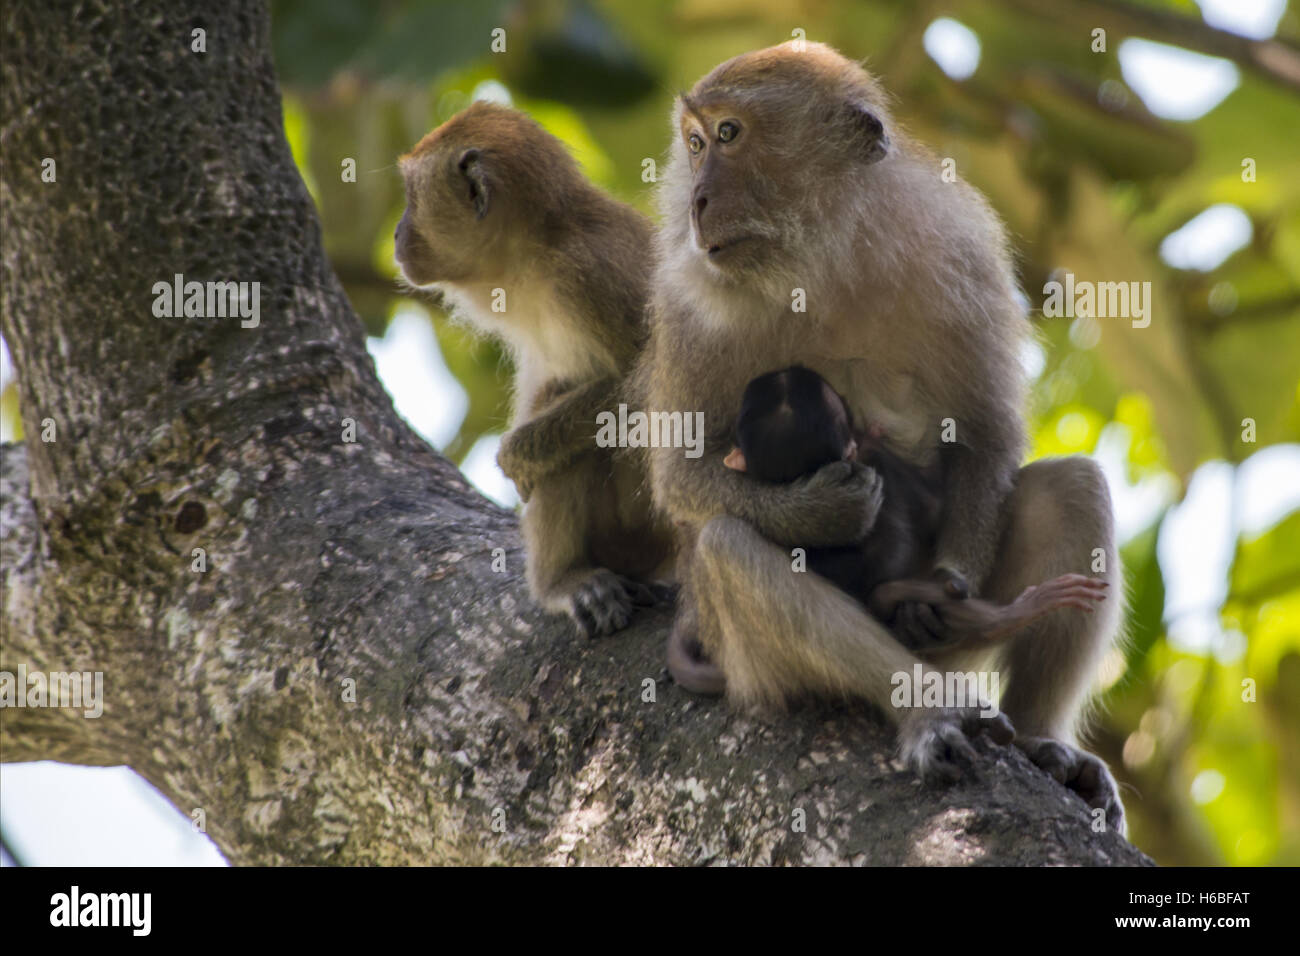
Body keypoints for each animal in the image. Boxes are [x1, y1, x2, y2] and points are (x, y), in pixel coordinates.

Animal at [395, 101, 672, 637]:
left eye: (411, 197)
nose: (396, 232)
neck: (537, 251)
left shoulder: (591, 276)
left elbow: (656, 391)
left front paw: (517, 454)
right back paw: (565, 581)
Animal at [643, 42, 1125, 829]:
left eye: (727, 135)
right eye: (693, 143)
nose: (696, 201)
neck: (820, 261)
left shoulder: (957, 251)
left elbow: (989, 430)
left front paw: (942, 591)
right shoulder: (688, 300)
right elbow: (682, 477)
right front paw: (823, 509)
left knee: (1072, 489)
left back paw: (1042, 739)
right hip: (747, 658)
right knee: (727, 547)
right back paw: (925, 710)